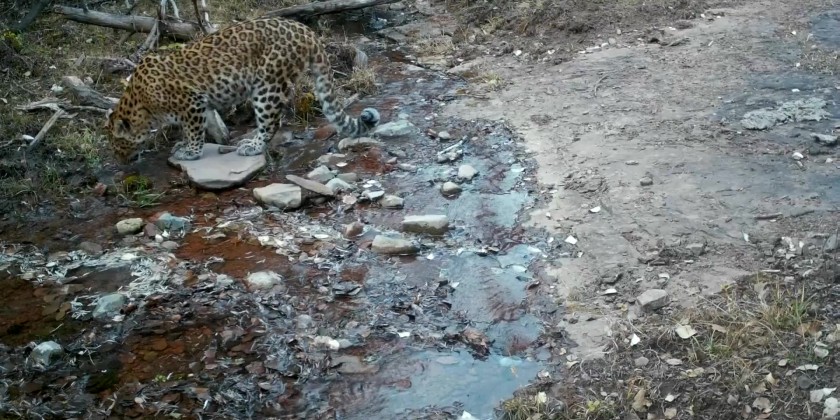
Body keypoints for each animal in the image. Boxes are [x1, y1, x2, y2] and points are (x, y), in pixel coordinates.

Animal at [105, 16, 380, 164]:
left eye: (117, 144)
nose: (119, 161)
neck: (141, 103)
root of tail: (305, 30)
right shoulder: (201, 103)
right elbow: (210, 123)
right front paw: (213, 140)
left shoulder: (190, 103)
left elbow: (193, 131)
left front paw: (191, 152)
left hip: (267, 86)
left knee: (271, 123)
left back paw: (252, 146)